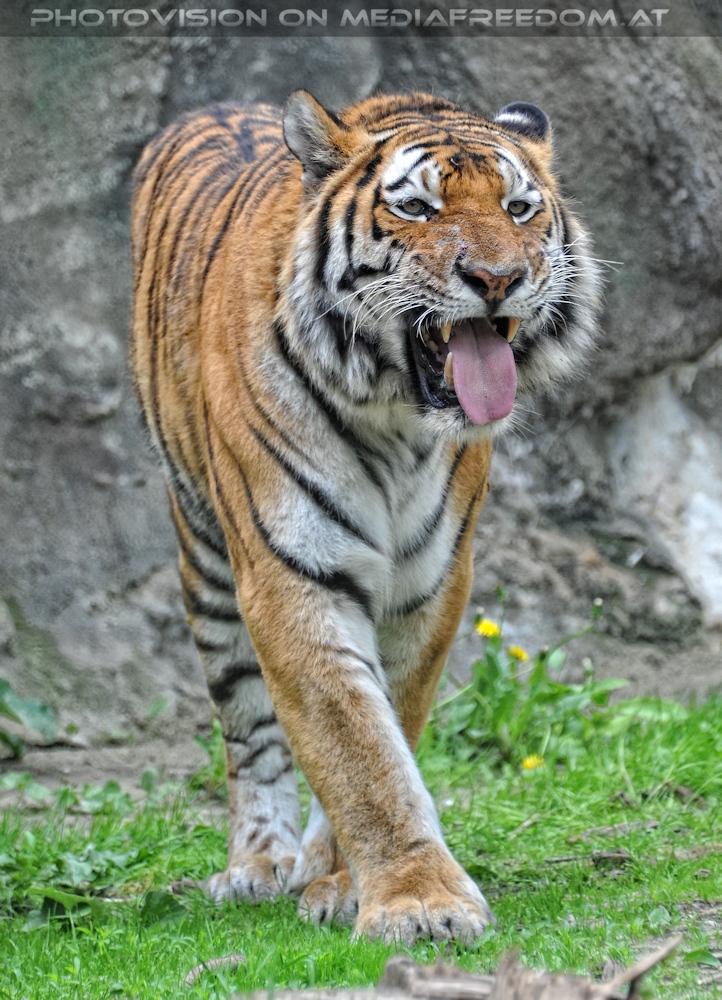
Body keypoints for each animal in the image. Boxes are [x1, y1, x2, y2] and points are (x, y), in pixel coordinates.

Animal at [131, 90, 601, 946]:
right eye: (416, 207)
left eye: (519, 208)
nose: (498, 279)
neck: (396, 418)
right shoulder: (292, 574)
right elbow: (354, 746)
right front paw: (419, 902)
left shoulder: (431, 583)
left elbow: (388, 728)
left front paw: (344, 880)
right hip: (206, 561)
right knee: (248, 732)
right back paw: (257, 866)